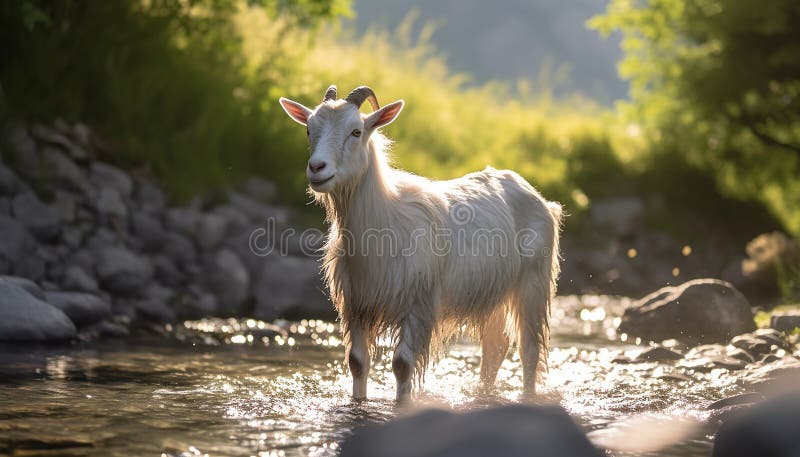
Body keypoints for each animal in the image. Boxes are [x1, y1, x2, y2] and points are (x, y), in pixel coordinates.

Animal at [279, 85, 562, 401]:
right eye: (308, 129)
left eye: (356, 131)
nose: (317, 168)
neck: (385, 218)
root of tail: (539, 198)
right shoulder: (357, 304)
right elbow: (357, 362)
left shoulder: (419, 302)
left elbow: (403, 365)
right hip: (494, 293)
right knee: (495, 347)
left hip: (533, 283)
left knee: (529, 350)